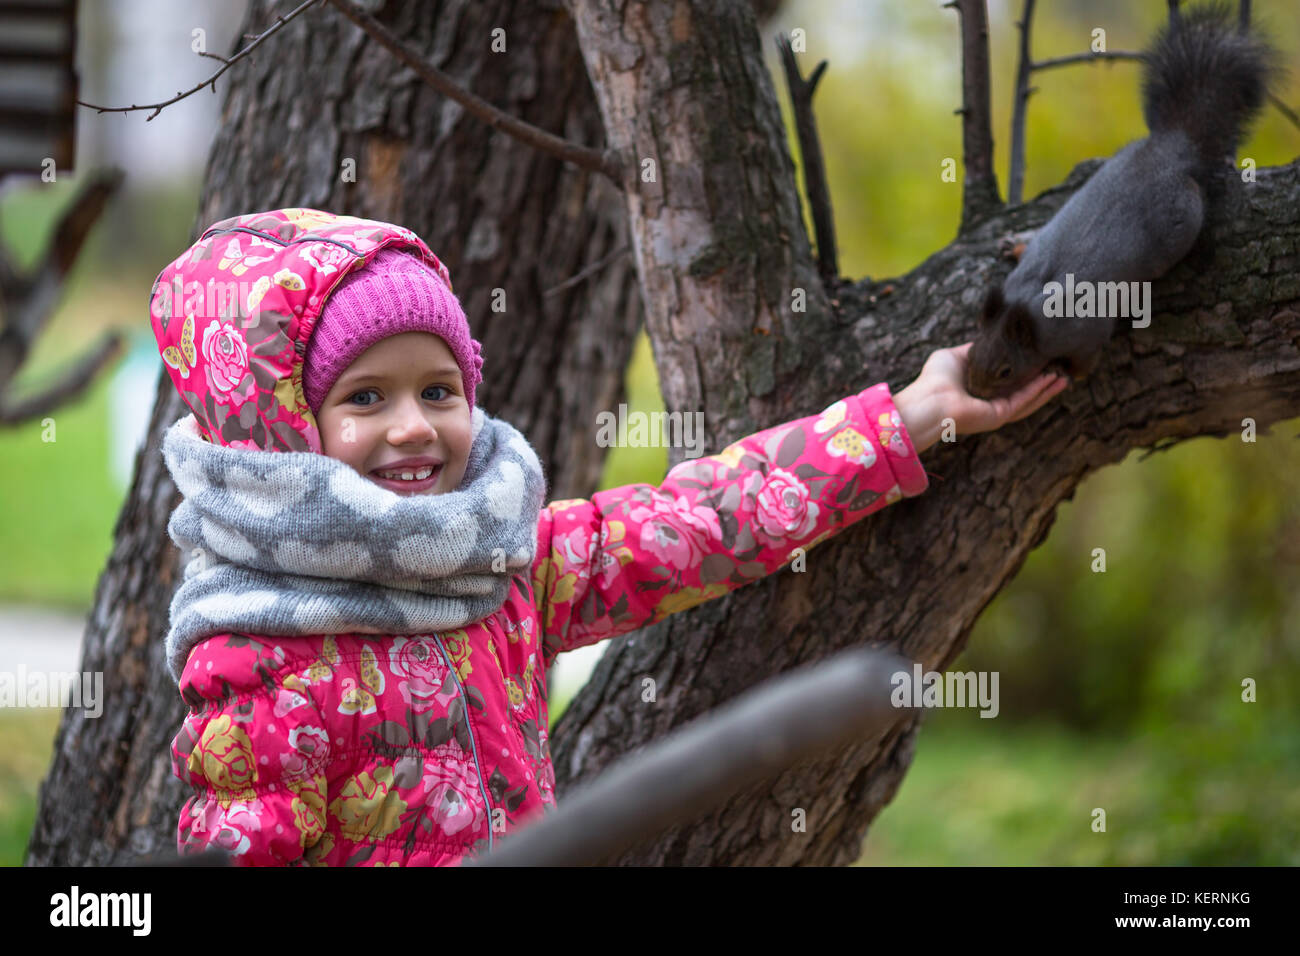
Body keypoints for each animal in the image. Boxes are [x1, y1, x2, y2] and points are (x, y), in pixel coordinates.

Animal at [966, 0, 1282, 400]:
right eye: (972, 351)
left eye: (1006, 371)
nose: (973, 390)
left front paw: (1066, 373)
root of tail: (1171, 148)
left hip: (1183, 216)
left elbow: (1086, 360)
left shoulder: (1084, 333)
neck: (1025, 304)